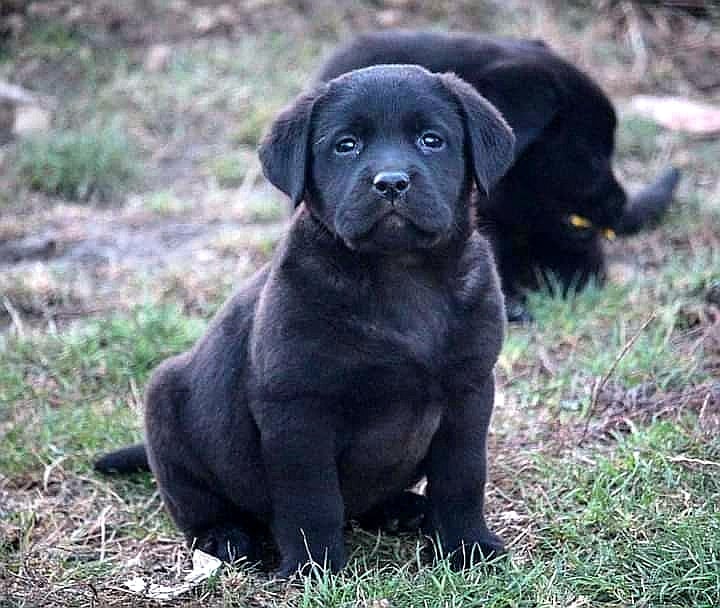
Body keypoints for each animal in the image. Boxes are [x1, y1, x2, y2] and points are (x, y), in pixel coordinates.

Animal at [95, 64, 516, 576]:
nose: (391, 183)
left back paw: (401, 509)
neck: (399, 274)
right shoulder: (297, 409)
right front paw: (315, 567)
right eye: (346, 144)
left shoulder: (468, 391)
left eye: (431, 140)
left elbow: (462, 478)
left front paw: (468, 547)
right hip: (165, 406)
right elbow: (311, 499)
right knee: (199, 505)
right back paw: (224, 539)